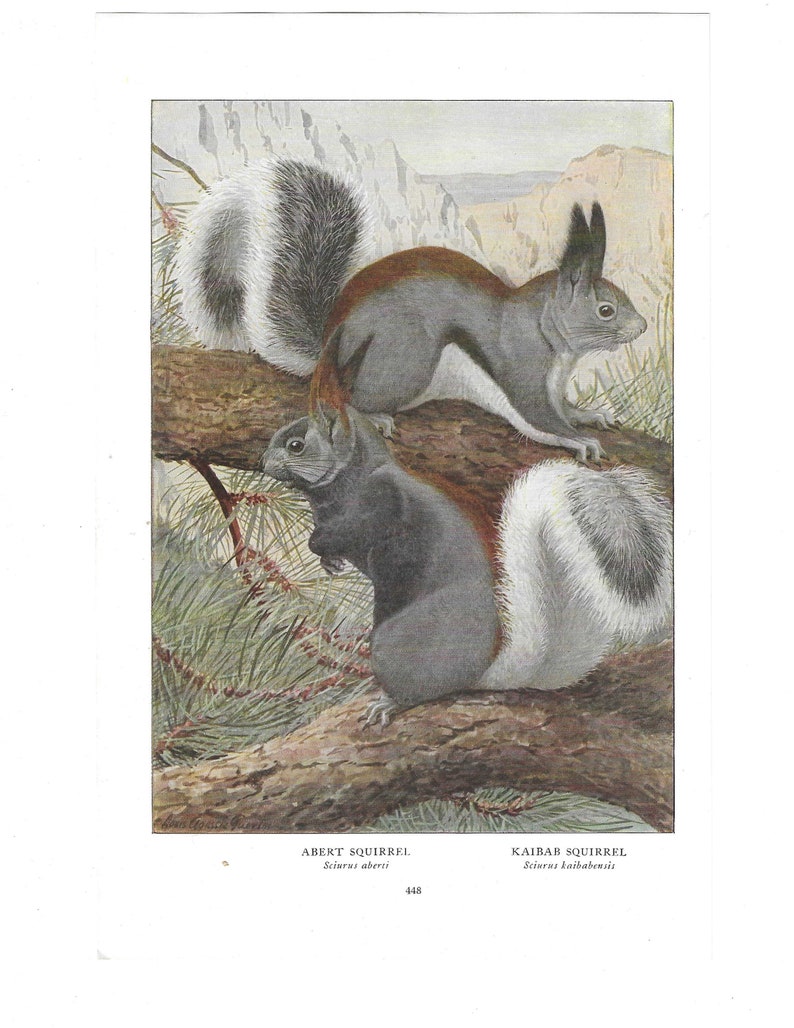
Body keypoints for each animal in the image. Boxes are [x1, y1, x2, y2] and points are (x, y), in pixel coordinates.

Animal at [175, 157, 647, 463]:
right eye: (606, 310)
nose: (642, 327)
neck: (548, 332)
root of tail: (332, 345)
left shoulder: (554, 381)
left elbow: (562, 406)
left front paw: (589, 414)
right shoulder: (524, 370)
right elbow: (540, 417)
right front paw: (576, 440)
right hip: (408, 358)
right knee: (354, 398)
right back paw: (374, 414)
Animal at [261, 404, 672, 726]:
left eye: (296, 445)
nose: (263, 463)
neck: (347, 481)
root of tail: (482, 673)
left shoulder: (378, 502)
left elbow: (347, 530)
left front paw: (321, 546)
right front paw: (330, 562)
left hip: (398, 644)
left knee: (418, 691)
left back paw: (389, 702)